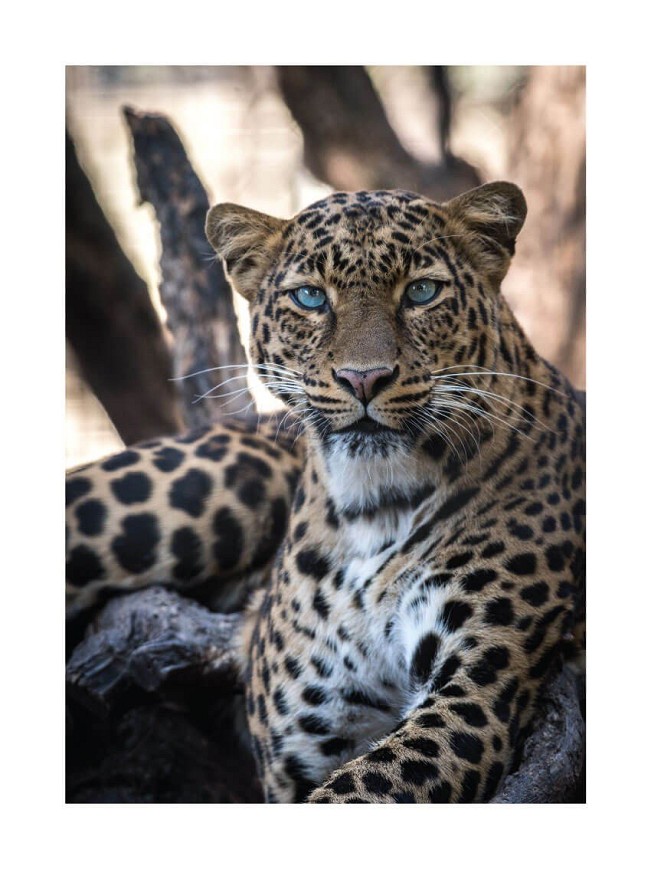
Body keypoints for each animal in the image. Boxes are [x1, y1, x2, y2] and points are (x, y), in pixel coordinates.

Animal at [66, 181, 585, 803]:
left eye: (422, 291)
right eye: (311, 298)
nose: (364, 378)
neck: (374, 507)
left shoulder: (476, 698)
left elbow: (362, 787)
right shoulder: (306, 739)